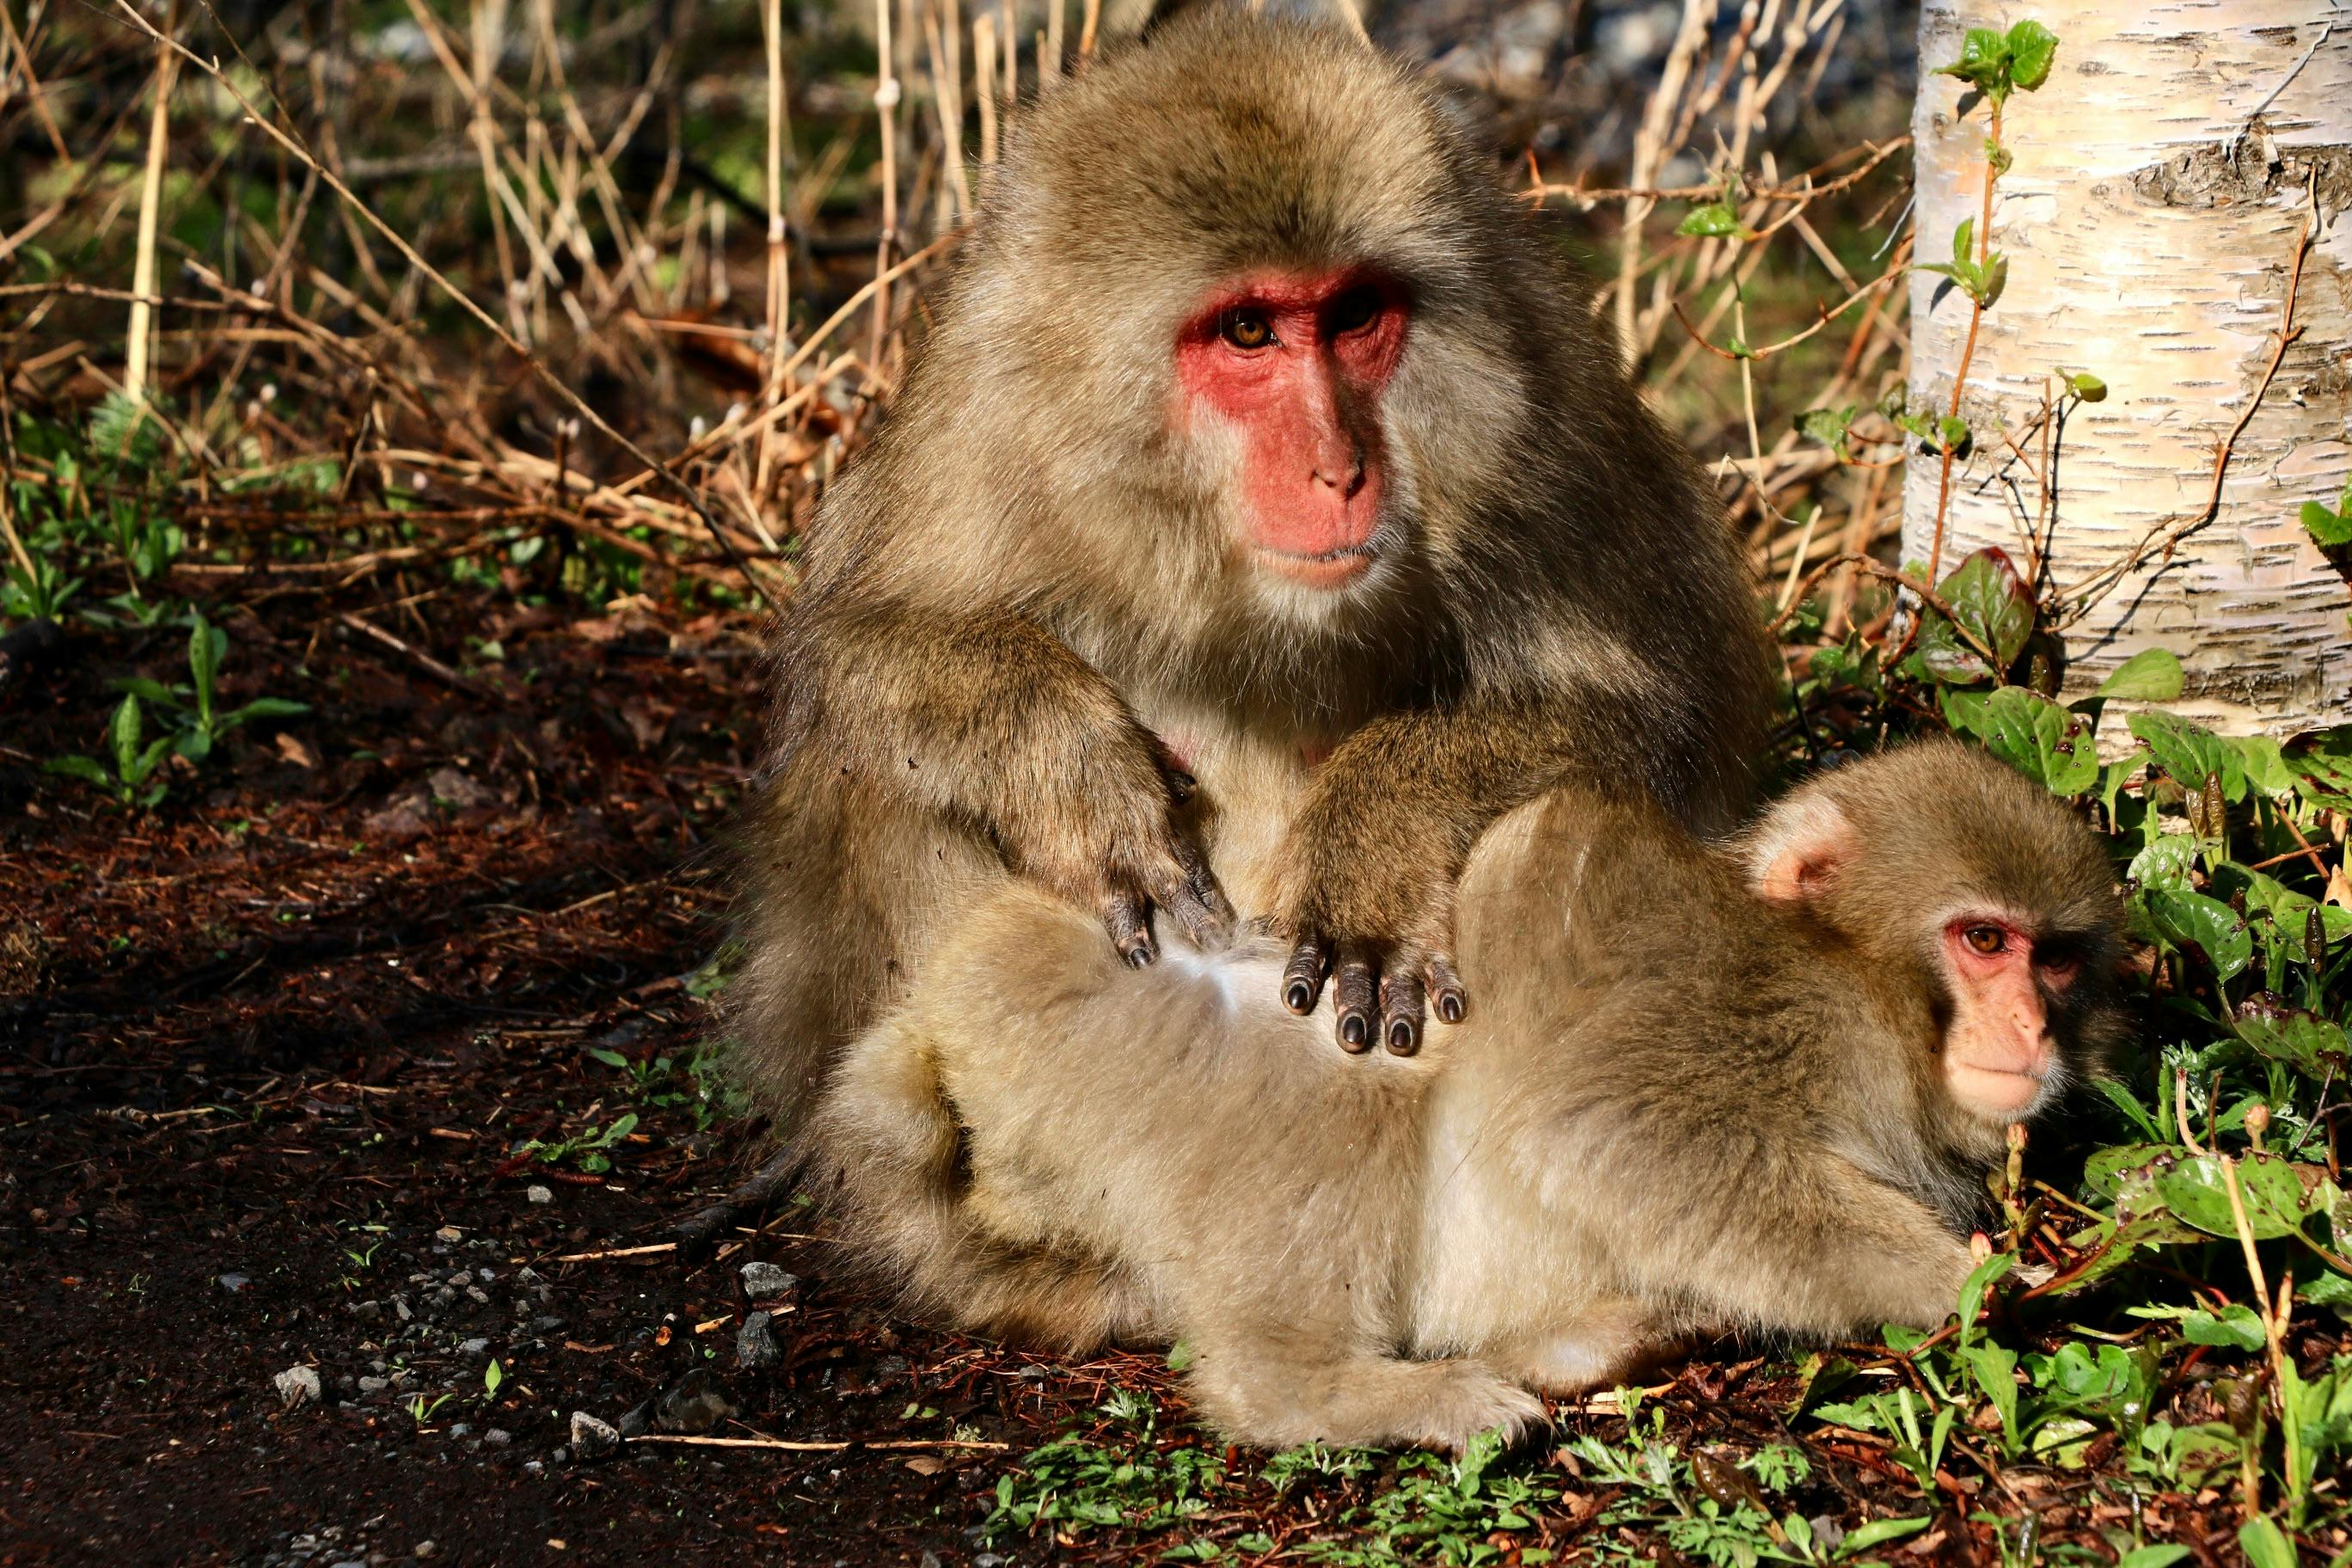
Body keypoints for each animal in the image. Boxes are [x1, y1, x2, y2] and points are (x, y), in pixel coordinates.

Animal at [731, 3, 1771, 1137]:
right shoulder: (978, 423)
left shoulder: (1557, 431)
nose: (1341, 470)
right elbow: (862, 645)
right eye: (1248, 330)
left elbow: (1647, 718)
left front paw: (1380, 827)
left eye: (1354, 315)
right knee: (889, 772)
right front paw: (1072, 766)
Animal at [808, 742, 2129, 1452]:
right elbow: (1613, 1132)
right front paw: (1970, 1282)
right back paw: (1331, 1388)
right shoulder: (1733, 999)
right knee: (1352, 1107)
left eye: (2058, 960)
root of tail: (943, 1011)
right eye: (1981, 940)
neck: (1843, 976)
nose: (2029, 1027)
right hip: (1103, 1045)